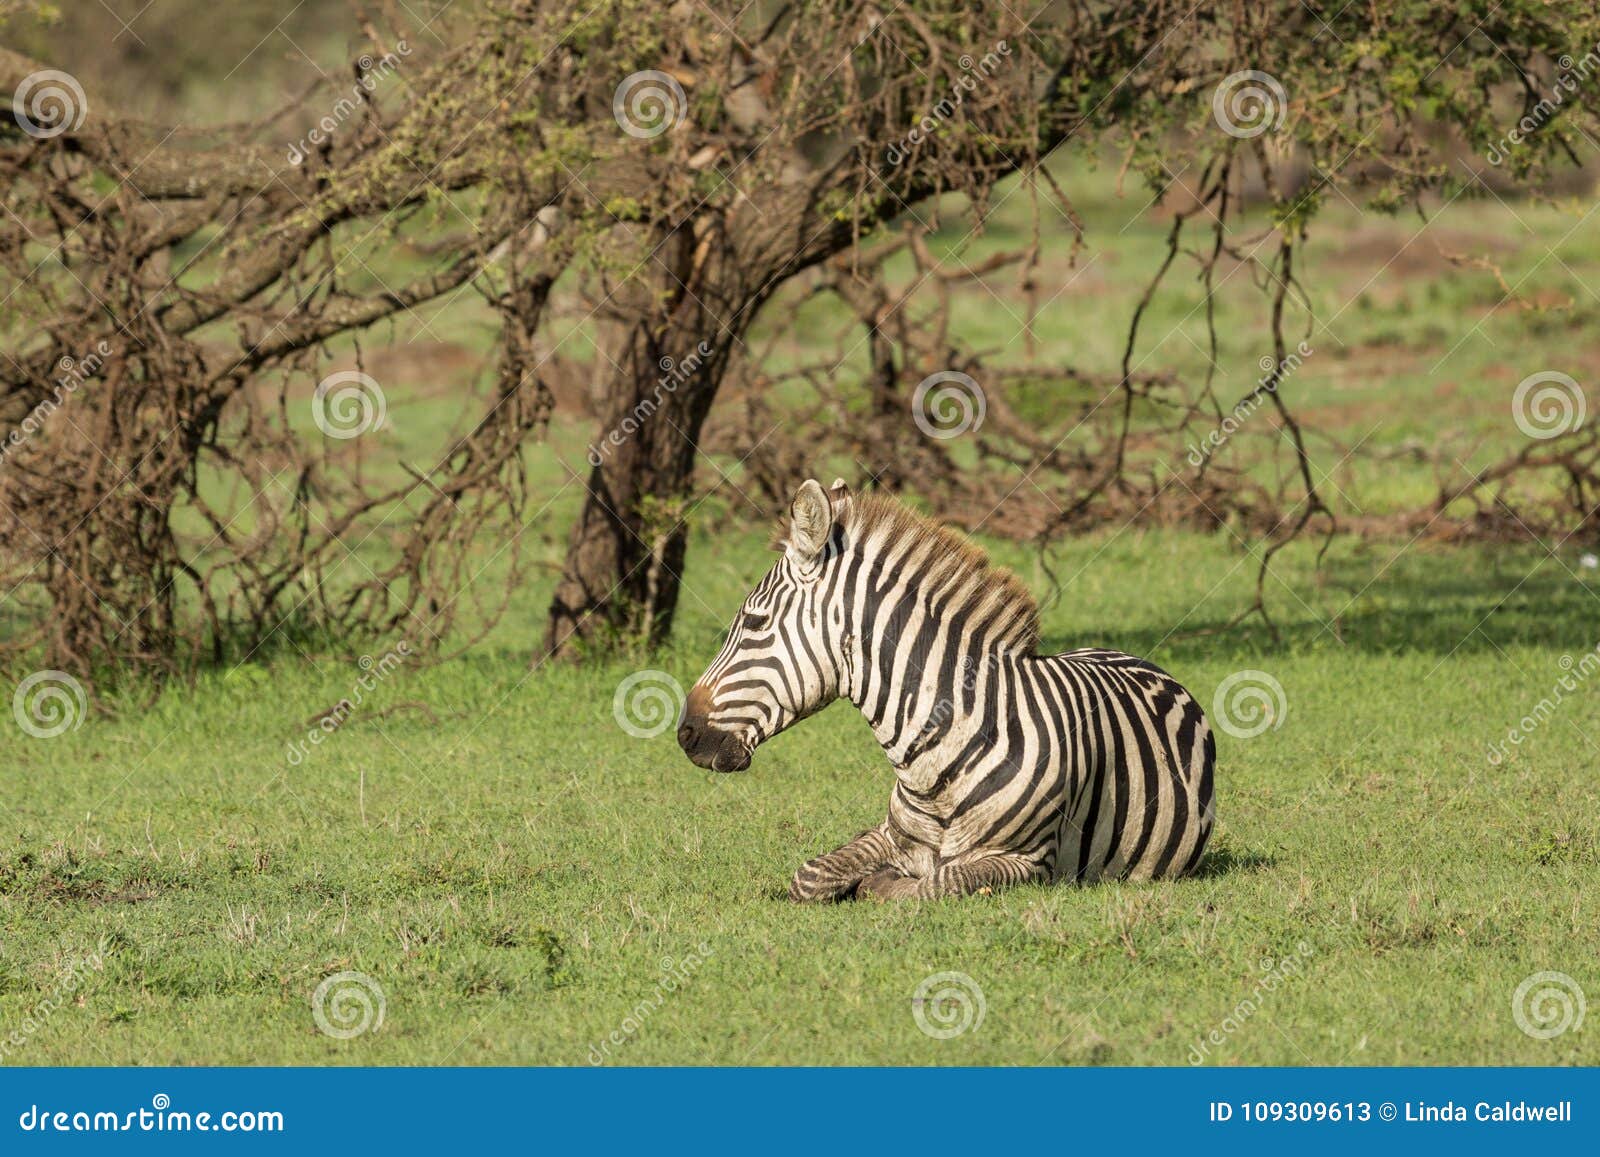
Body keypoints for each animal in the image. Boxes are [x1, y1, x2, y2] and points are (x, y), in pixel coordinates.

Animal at [677, 478, 1215, 901]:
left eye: (754, 622)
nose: (684, 733)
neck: (935, 761)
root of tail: (1133, 657)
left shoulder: (1027, 860)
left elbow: (933, 885)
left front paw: (882, 884)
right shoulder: (891, 835)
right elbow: (809, 875)